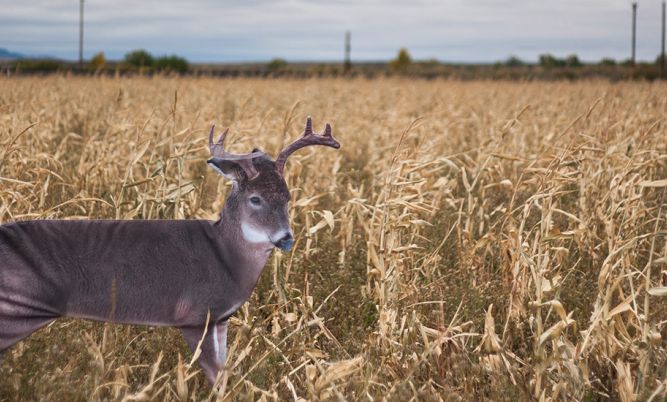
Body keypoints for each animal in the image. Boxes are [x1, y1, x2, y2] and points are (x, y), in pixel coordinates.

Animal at [0, 117, 340, 384]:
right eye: (255, 199)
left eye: (288, 196)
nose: (285, 238)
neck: (226, 255)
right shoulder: (194, 314)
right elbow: (216, 378)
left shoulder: (220, 319)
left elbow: (225, 371)